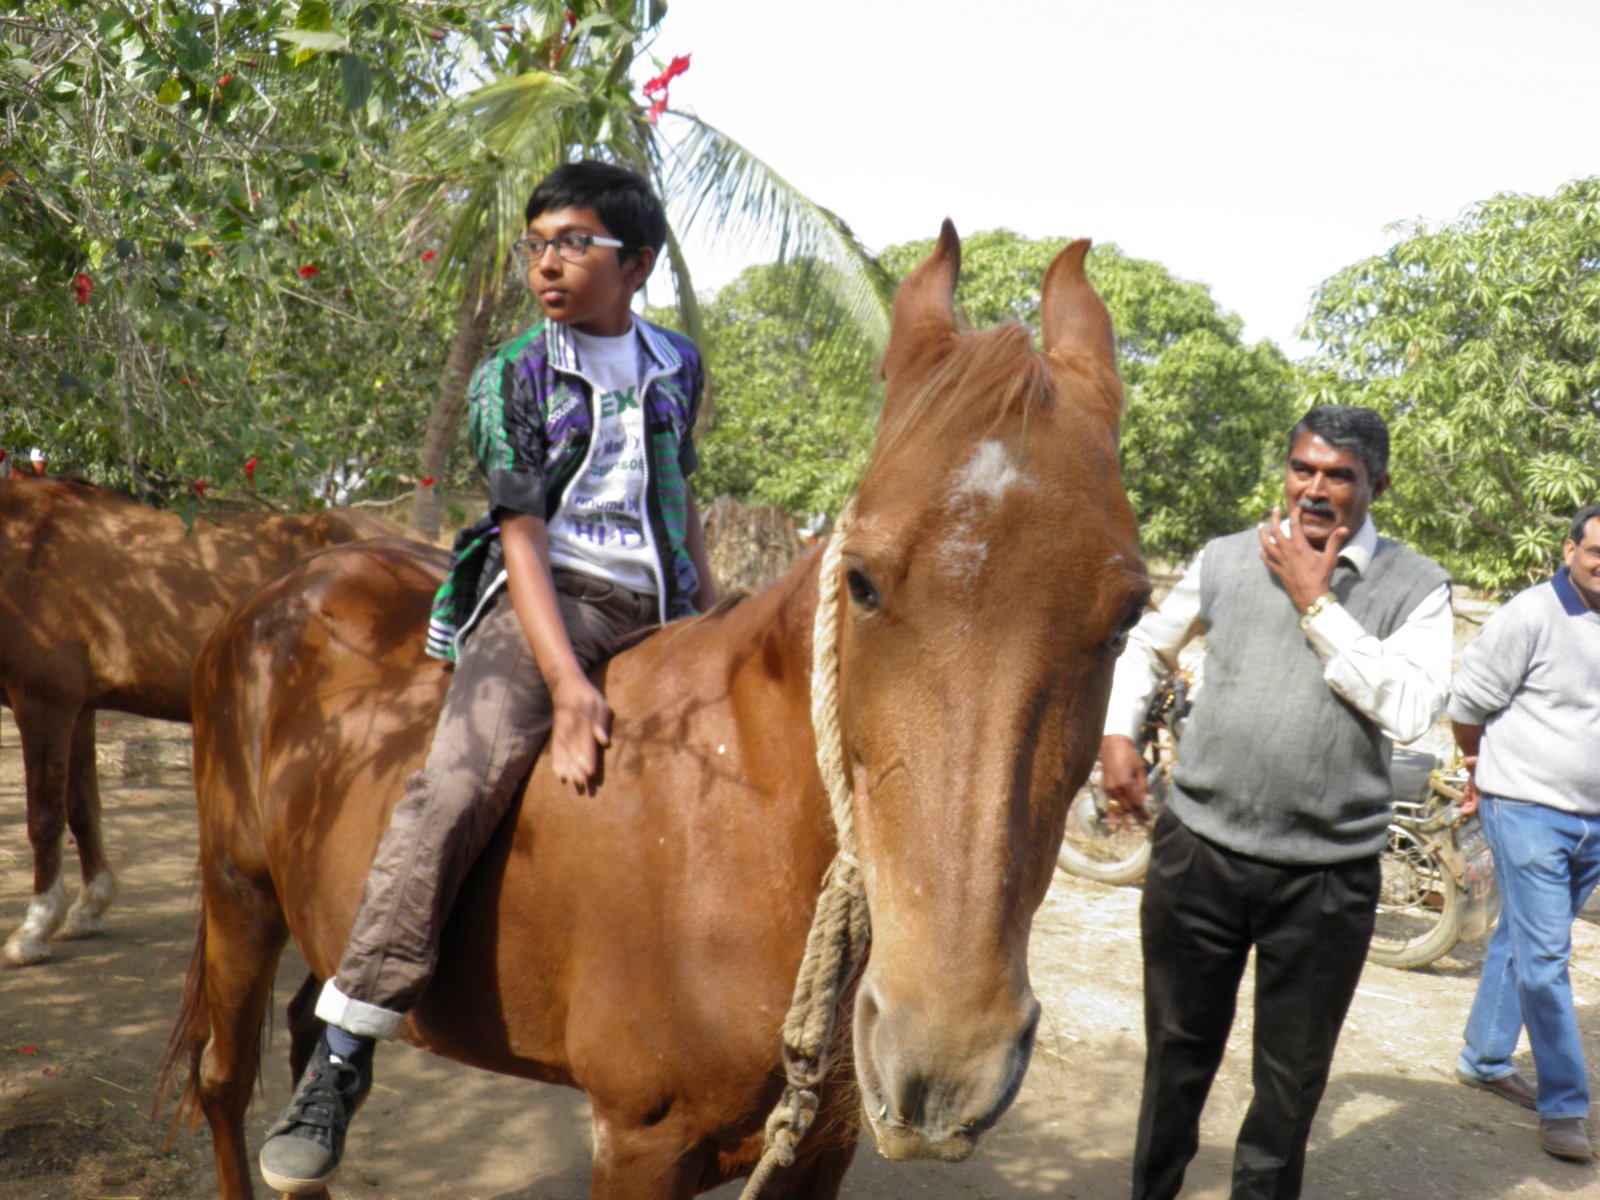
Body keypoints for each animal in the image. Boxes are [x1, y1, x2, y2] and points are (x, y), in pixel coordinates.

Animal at [0, 478, 425, 964]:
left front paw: (34, 929)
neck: (28, 544)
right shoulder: (81, 709)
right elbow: (83, 808)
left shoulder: (44, 703)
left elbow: (45, 817)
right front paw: (88, 910)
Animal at [161, 224, 1149, 1199]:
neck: (742, 816)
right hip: (241, 892)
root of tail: (282, 592)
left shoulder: (817, 1149)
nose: (946, 1055)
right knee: (227, 1077)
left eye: (1129, 615)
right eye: (862, 582)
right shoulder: (641, 1142)